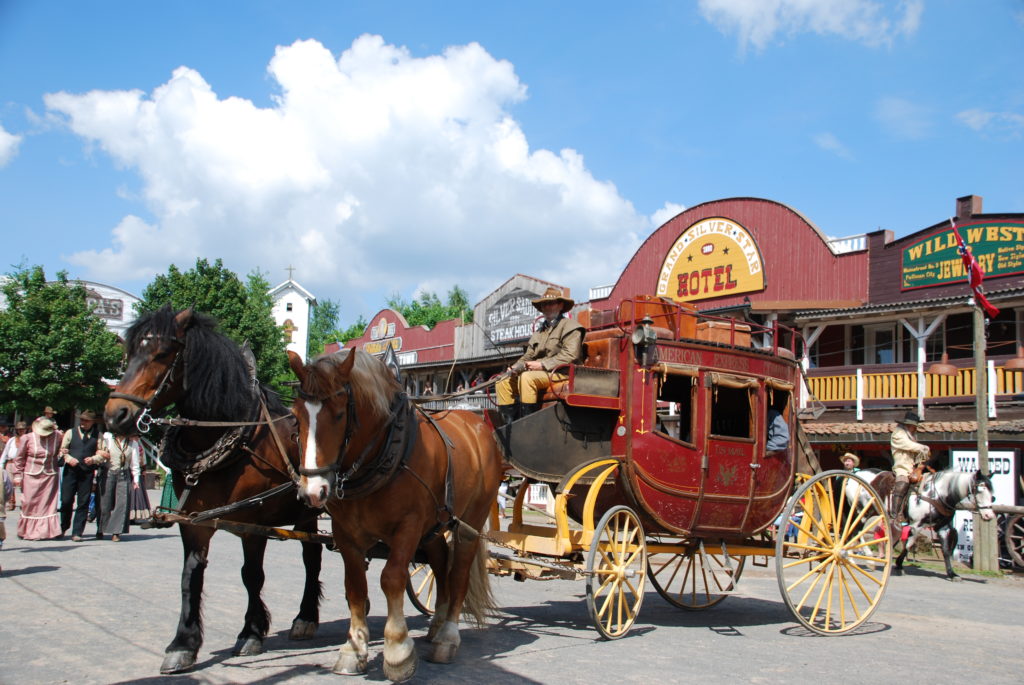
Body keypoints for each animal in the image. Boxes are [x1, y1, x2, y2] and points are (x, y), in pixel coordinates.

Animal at [103, 309, 319, 671]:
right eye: (129, 354)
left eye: (162, 354)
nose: (115, 415)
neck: (232, 435)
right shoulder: (194, 520)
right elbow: (190, 575)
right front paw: (183, 644)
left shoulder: (253, 523)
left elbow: (252, 575)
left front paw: (250, 633)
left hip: (309, 512)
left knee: (311, 556)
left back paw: (306, 617)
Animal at [286, 350, 501, 679]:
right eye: (296, 417)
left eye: (339, 414)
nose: (312, 491)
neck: (382, 453)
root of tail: (476, 422)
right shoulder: (345, 533)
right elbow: (355, 586)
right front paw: (354, 648)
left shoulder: (408, 526)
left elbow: (392, 578)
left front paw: (397, 649)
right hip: (435, 526)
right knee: (441, 565)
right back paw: (437, 625)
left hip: (469, 523)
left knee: (458, 574)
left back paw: (447, 637)